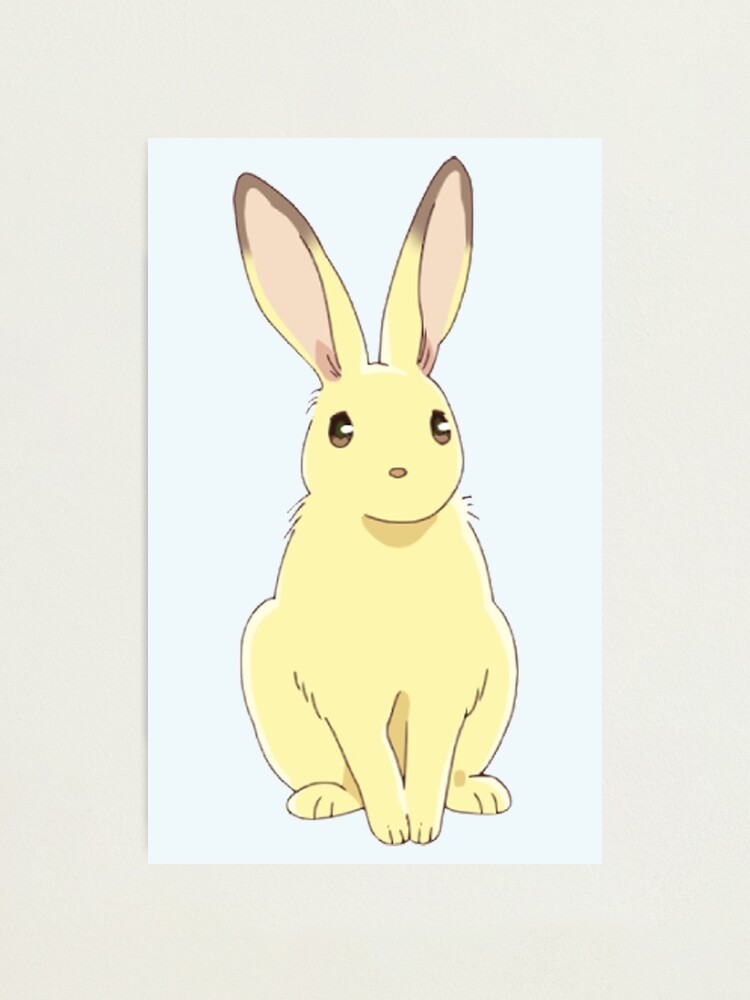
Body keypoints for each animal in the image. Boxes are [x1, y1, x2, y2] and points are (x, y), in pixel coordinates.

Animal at [233, 157, 518, 846]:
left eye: (441, 425)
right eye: (340, 429)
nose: (400, 473)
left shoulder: (448, 683)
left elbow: (432, 752)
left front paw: (423, 830)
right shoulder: (345, 689)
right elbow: (369, 753)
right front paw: (394, 830)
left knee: (455, 767)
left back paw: (479, 796)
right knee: (342, 775)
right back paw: (325, 802)